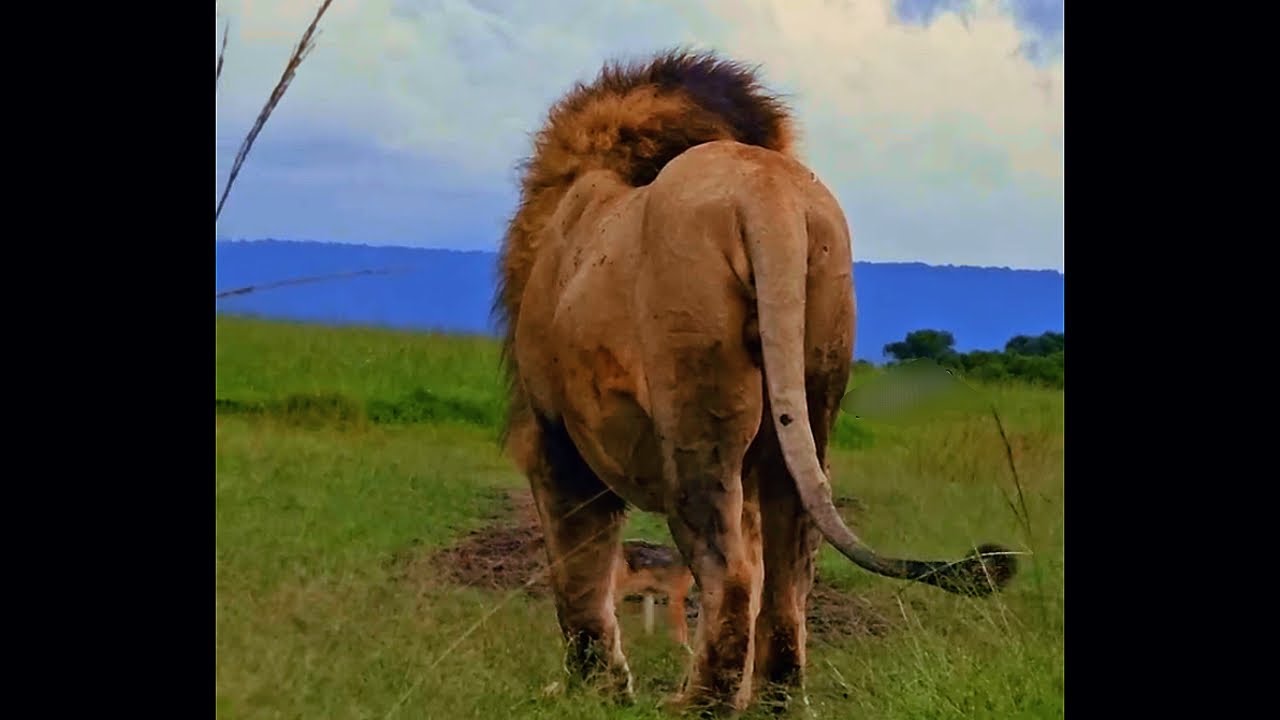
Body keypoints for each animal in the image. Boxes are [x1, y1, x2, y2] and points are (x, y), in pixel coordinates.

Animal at [493, 49, 1018, 714]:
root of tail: (769, 196)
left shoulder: (557, 443)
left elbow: (579, 576)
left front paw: (595, 691)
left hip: (695, 415)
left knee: (733, 574)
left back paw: (696, 705)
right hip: (812, 387)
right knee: (788, 572)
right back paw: (773, 700)